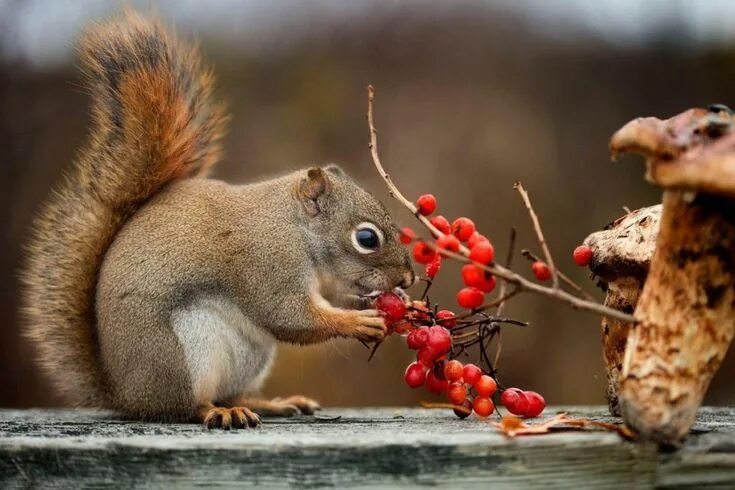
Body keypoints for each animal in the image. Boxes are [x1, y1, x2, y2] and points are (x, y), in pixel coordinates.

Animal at [21, 9, 414, 426]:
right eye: (367, 239)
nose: (409, 278)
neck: (293, 228)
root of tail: (128, 395)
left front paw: (396, 302)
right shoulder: (267, 263)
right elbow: (289, 316)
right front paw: (357, 322)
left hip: (249, 356)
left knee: (231, 390)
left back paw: (268, 403)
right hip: (186, 352)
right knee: (188, 405)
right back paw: (219, 412)